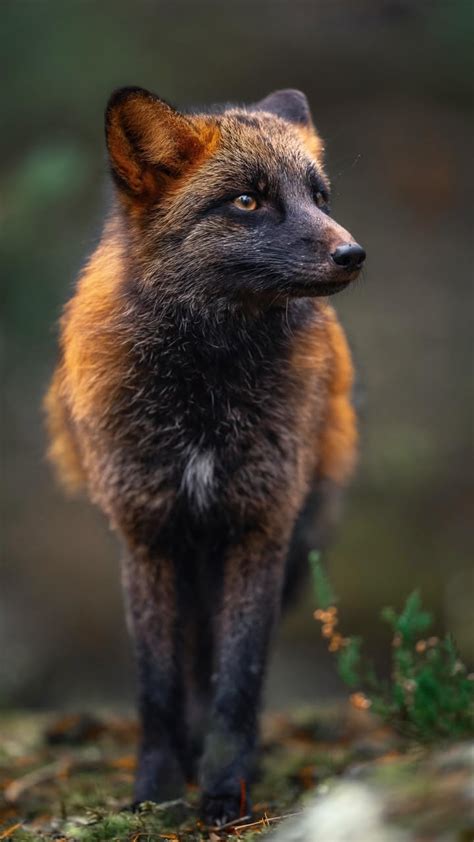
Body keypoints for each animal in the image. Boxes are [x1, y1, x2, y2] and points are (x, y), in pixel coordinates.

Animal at [44, 85, 364, 826]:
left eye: (319, 197)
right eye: (247, 201)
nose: (353, 253)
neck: (204, 396)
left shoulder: (262, 526)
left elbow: (238, 677)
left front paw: (226, 789)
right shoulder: (147, 534)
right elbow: (158, 688)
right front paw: (157, 790)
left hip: (288, 544)